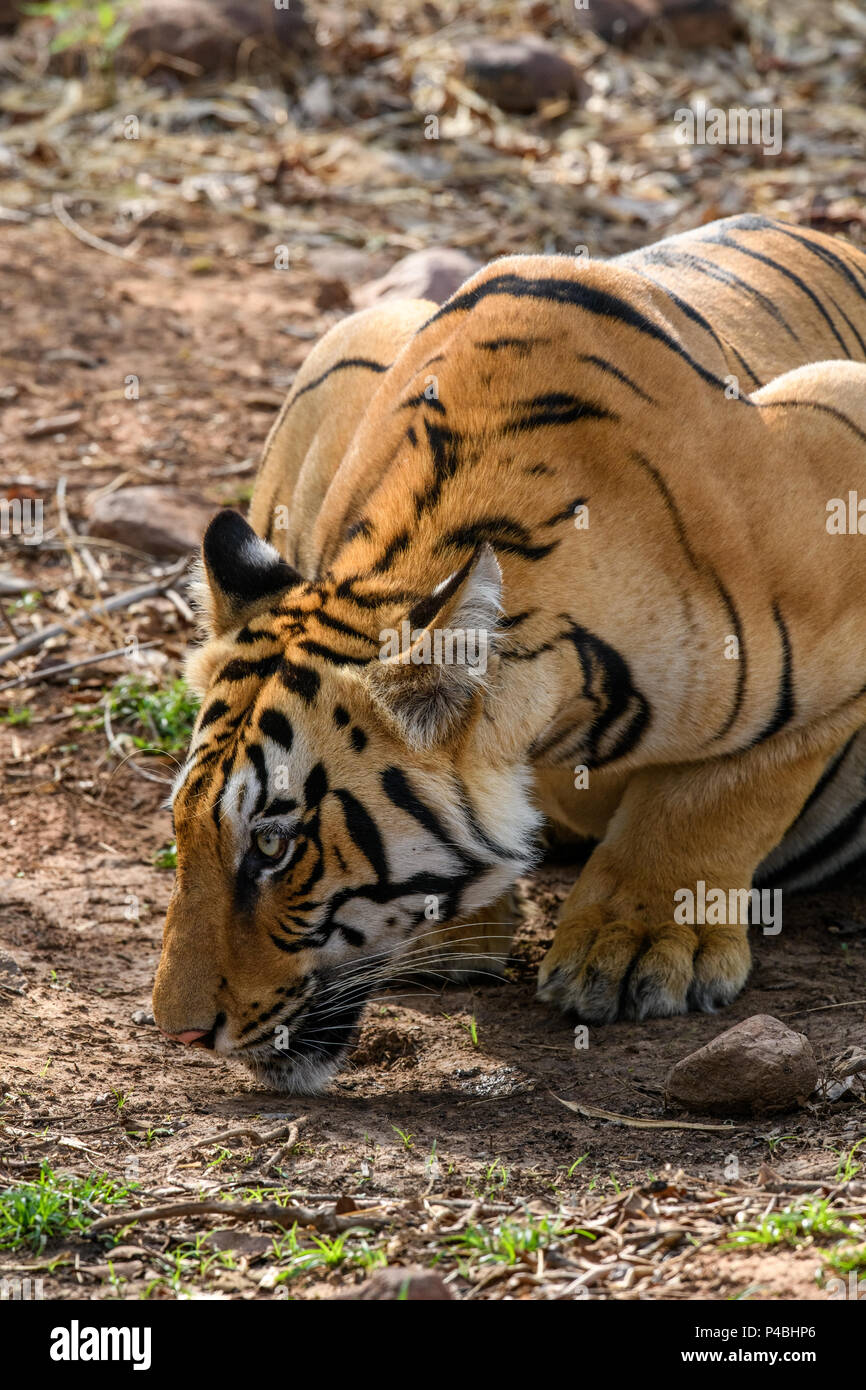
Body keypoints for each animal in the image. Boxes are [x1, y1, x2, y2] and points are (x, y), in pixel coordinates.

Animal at [152, 213, 866, 1094]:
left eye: (273, 845)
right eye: (182, 827)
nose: (177, 1032)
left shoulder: (837, 424)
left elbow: (732, 788)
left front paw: (636, 946)